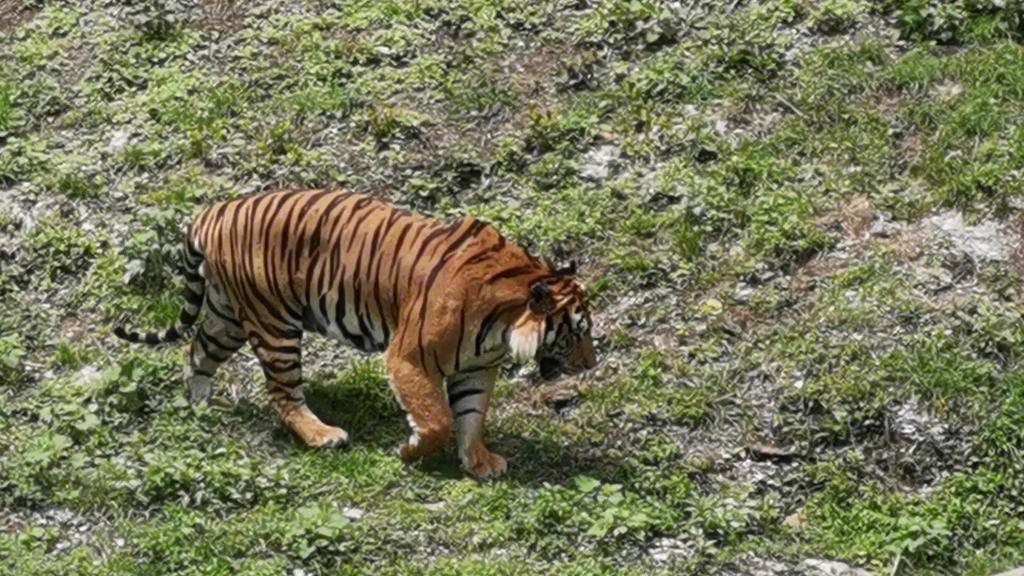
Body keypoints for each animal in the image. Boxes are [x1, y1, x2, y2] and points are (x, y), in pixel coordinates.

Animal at [113, 188, 598, 478]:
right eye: (576, 332)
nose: (592, 364)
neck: (502, 324)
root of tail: (212, 212)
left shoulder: (477, 369)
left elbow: (472, 416)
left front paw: (478, 461)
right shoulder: (408, 357)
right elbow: (438, 420)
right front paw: (410, 451)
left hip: (226, 315)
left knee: (195, 354)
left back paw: (198, 409)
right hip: (273, 324)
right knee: (282, 393)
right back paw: (322, 435)